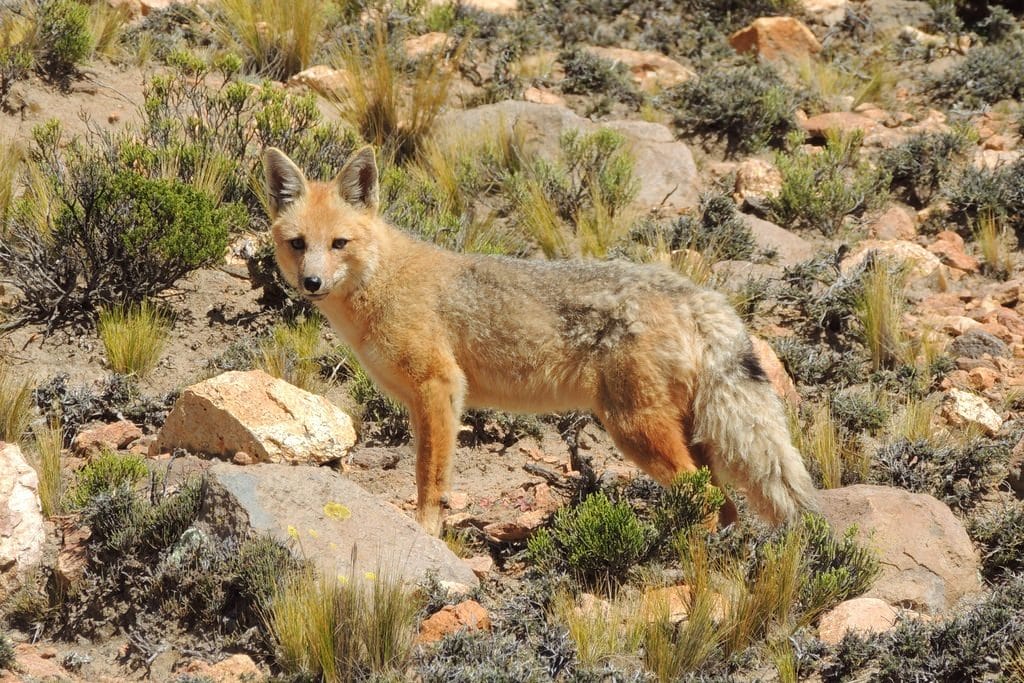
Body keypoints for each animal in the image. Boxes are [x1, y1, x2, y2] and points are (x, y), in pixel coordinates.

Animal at [262, 145, 817, 535]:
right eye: (298, 244)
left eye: (339, 243)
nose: (311, 283)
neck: (382, 280)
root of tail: (694, 292)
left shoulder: (439, 388)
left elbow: (430, 480)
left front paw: (426, 535)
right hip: (679, 434)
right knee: (726, 507)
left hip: (633, 429)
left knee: (702, 499)